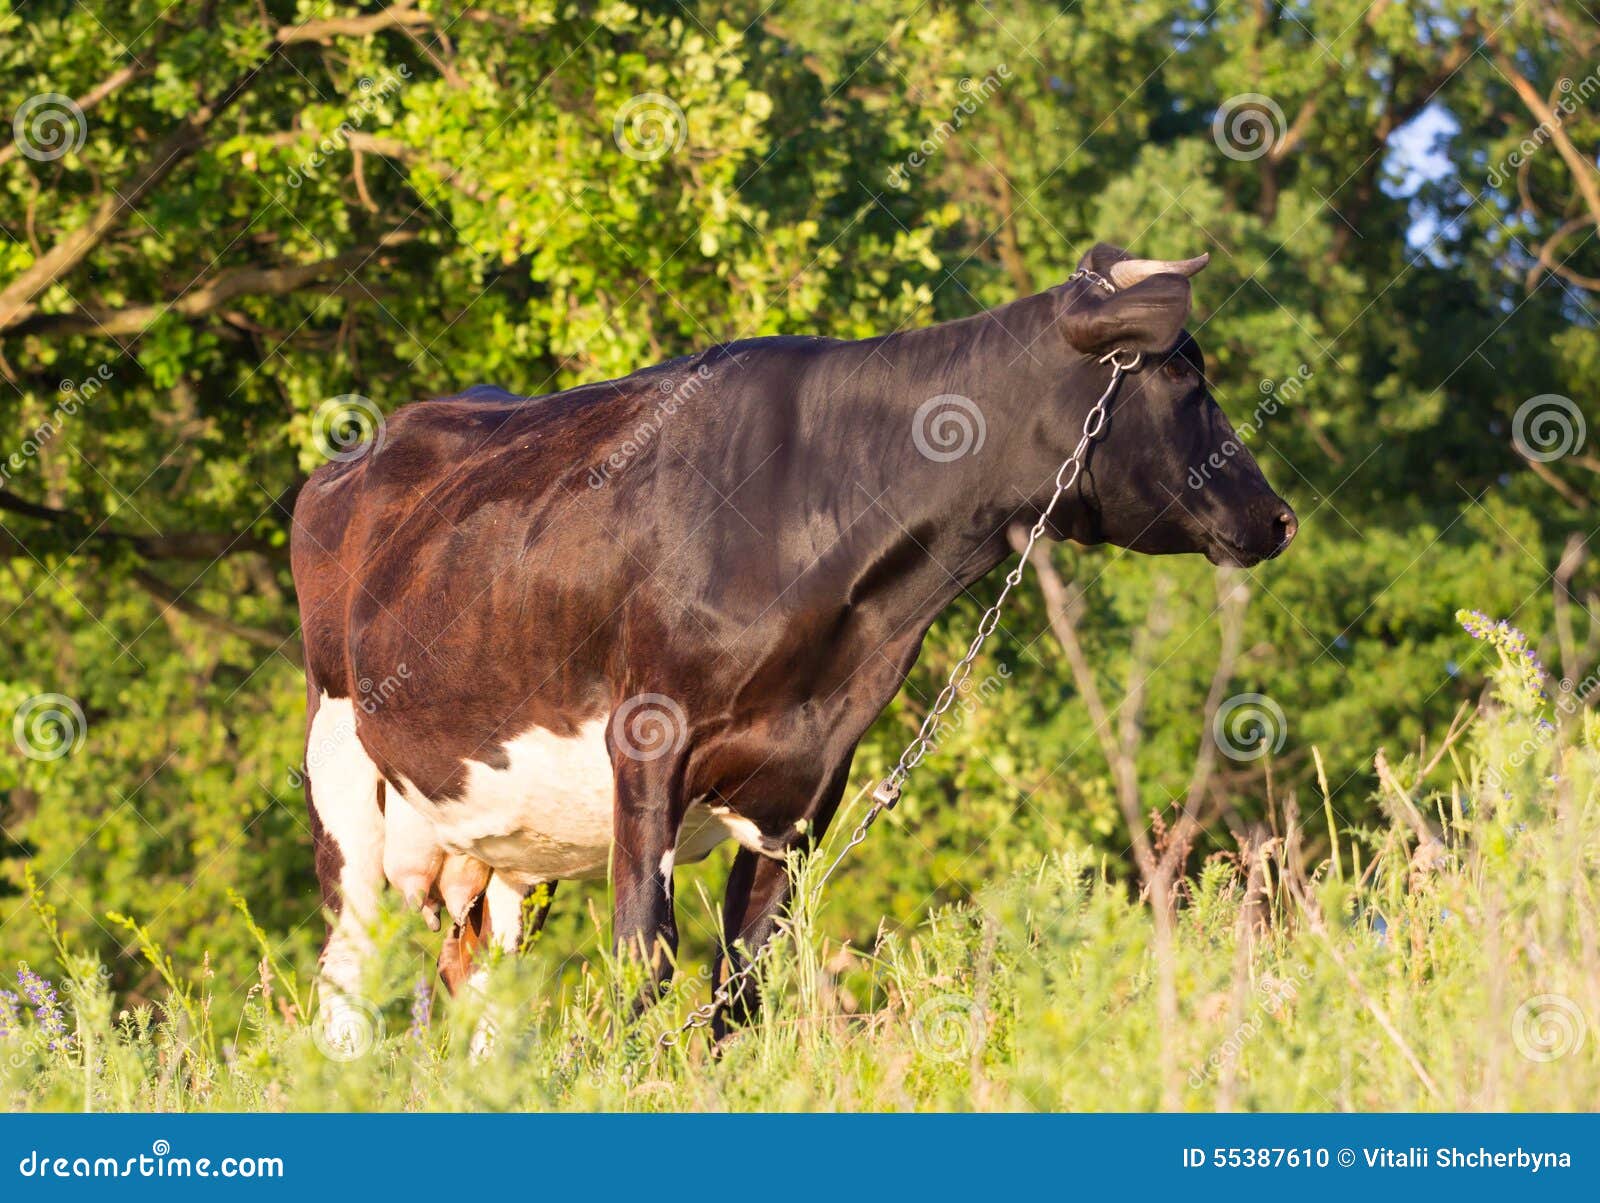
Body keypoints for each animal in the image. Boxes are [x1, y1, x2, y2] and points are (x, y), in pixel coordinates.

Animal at [290, 243, 1296, 1037]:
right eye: (1186, 377)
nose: (1279, 516)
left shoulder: (810, 784)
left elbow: (740, 979)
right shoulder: (645, 739)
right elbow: (646, 954)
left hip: (503, 842)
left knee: (487, 986)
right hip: (342, 764)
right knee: (347, 976)